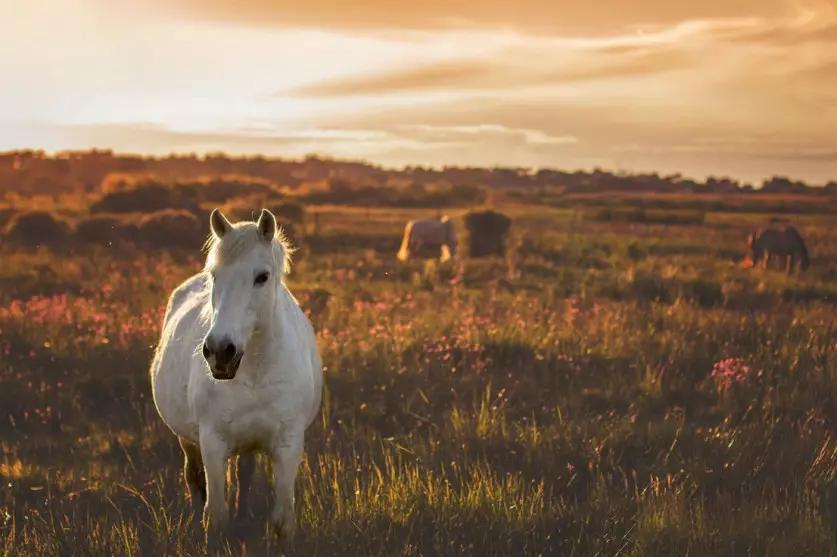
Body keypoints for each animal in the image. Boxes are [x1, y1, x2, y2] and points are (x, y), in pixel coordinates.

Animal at [149, 207, 322, 544]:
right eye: (215, 276)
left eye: (262, 277)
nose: (220, 351)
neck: (255, 371)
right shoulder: (212, 442)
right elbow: (216, 517)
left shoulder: (288, 443)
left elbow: (282, 521)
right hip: (188, 440)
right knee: (195, 479)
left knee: (244, 473)